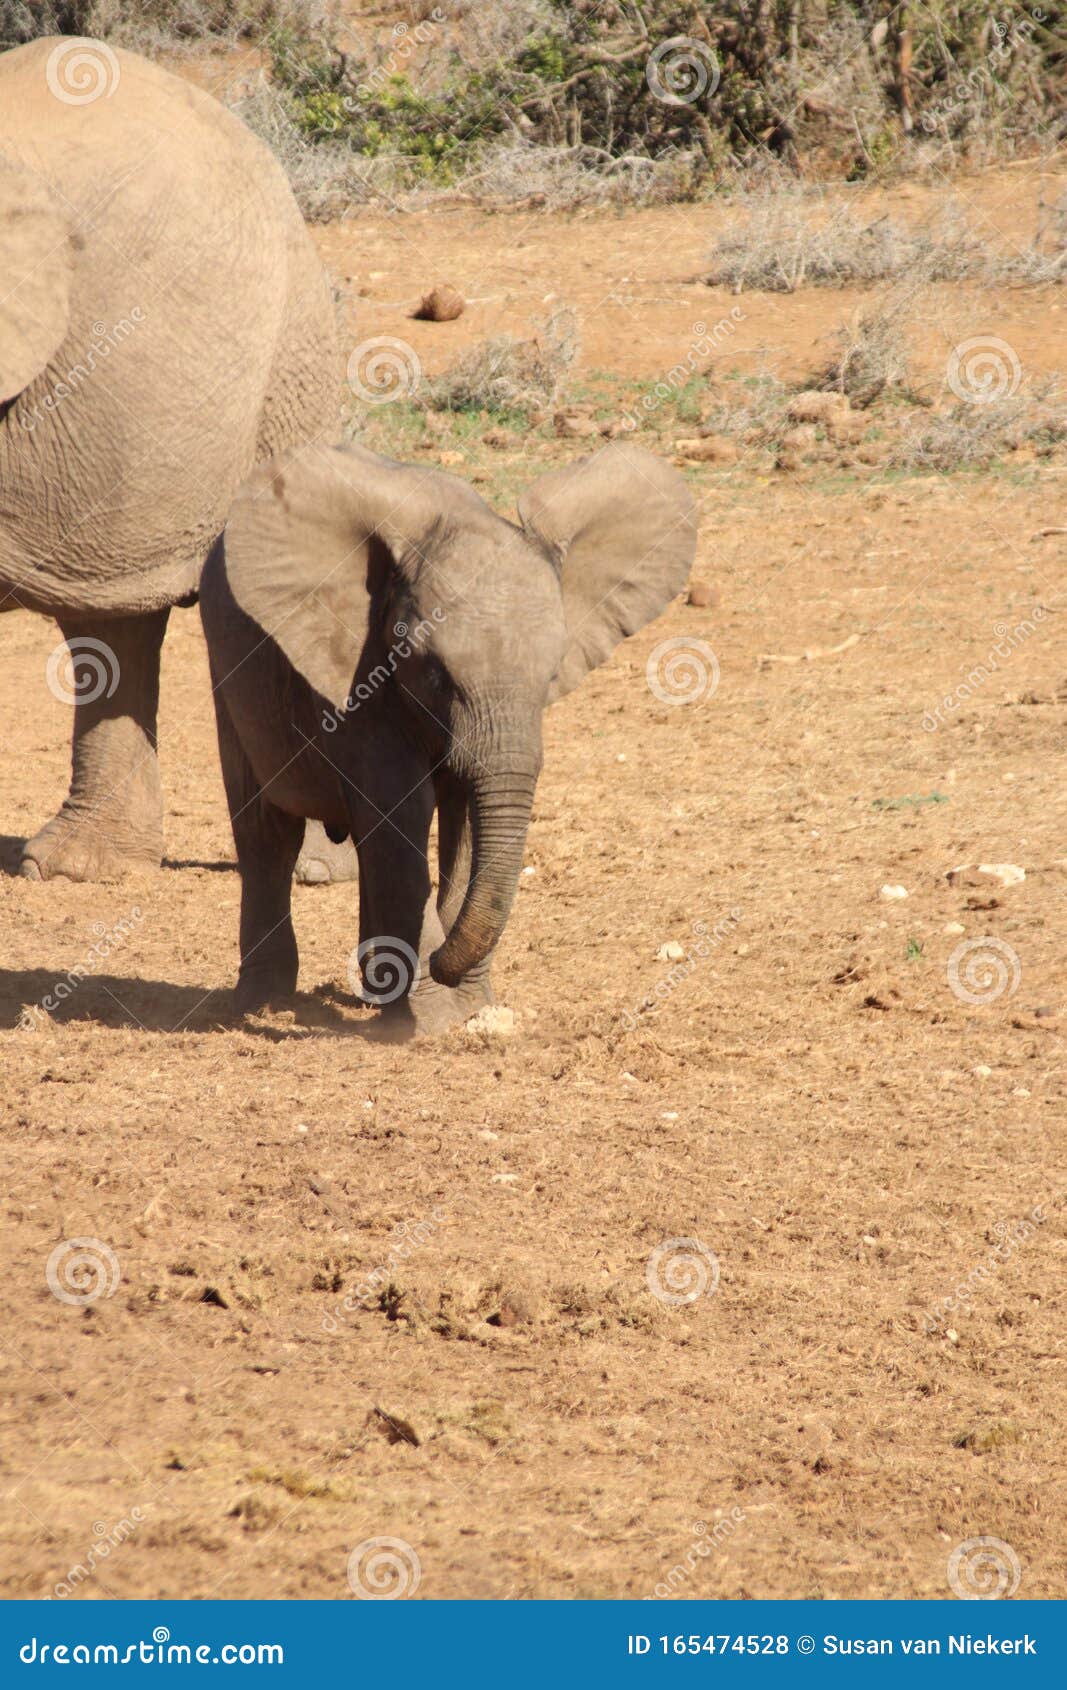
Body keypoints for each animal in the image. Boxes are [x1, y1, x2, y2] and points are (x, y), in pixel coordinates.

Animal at [199, 438, 698, 1032]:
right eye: (434, 673)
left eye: (552, 673)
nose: (442, 962)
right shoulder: (359, 672)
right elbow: (403, 815)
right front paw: (433, 1020)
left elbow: (462, 827)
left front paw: (469, 1007)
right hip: (227, 664)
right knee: (267, 832)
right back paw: (264, 1002)